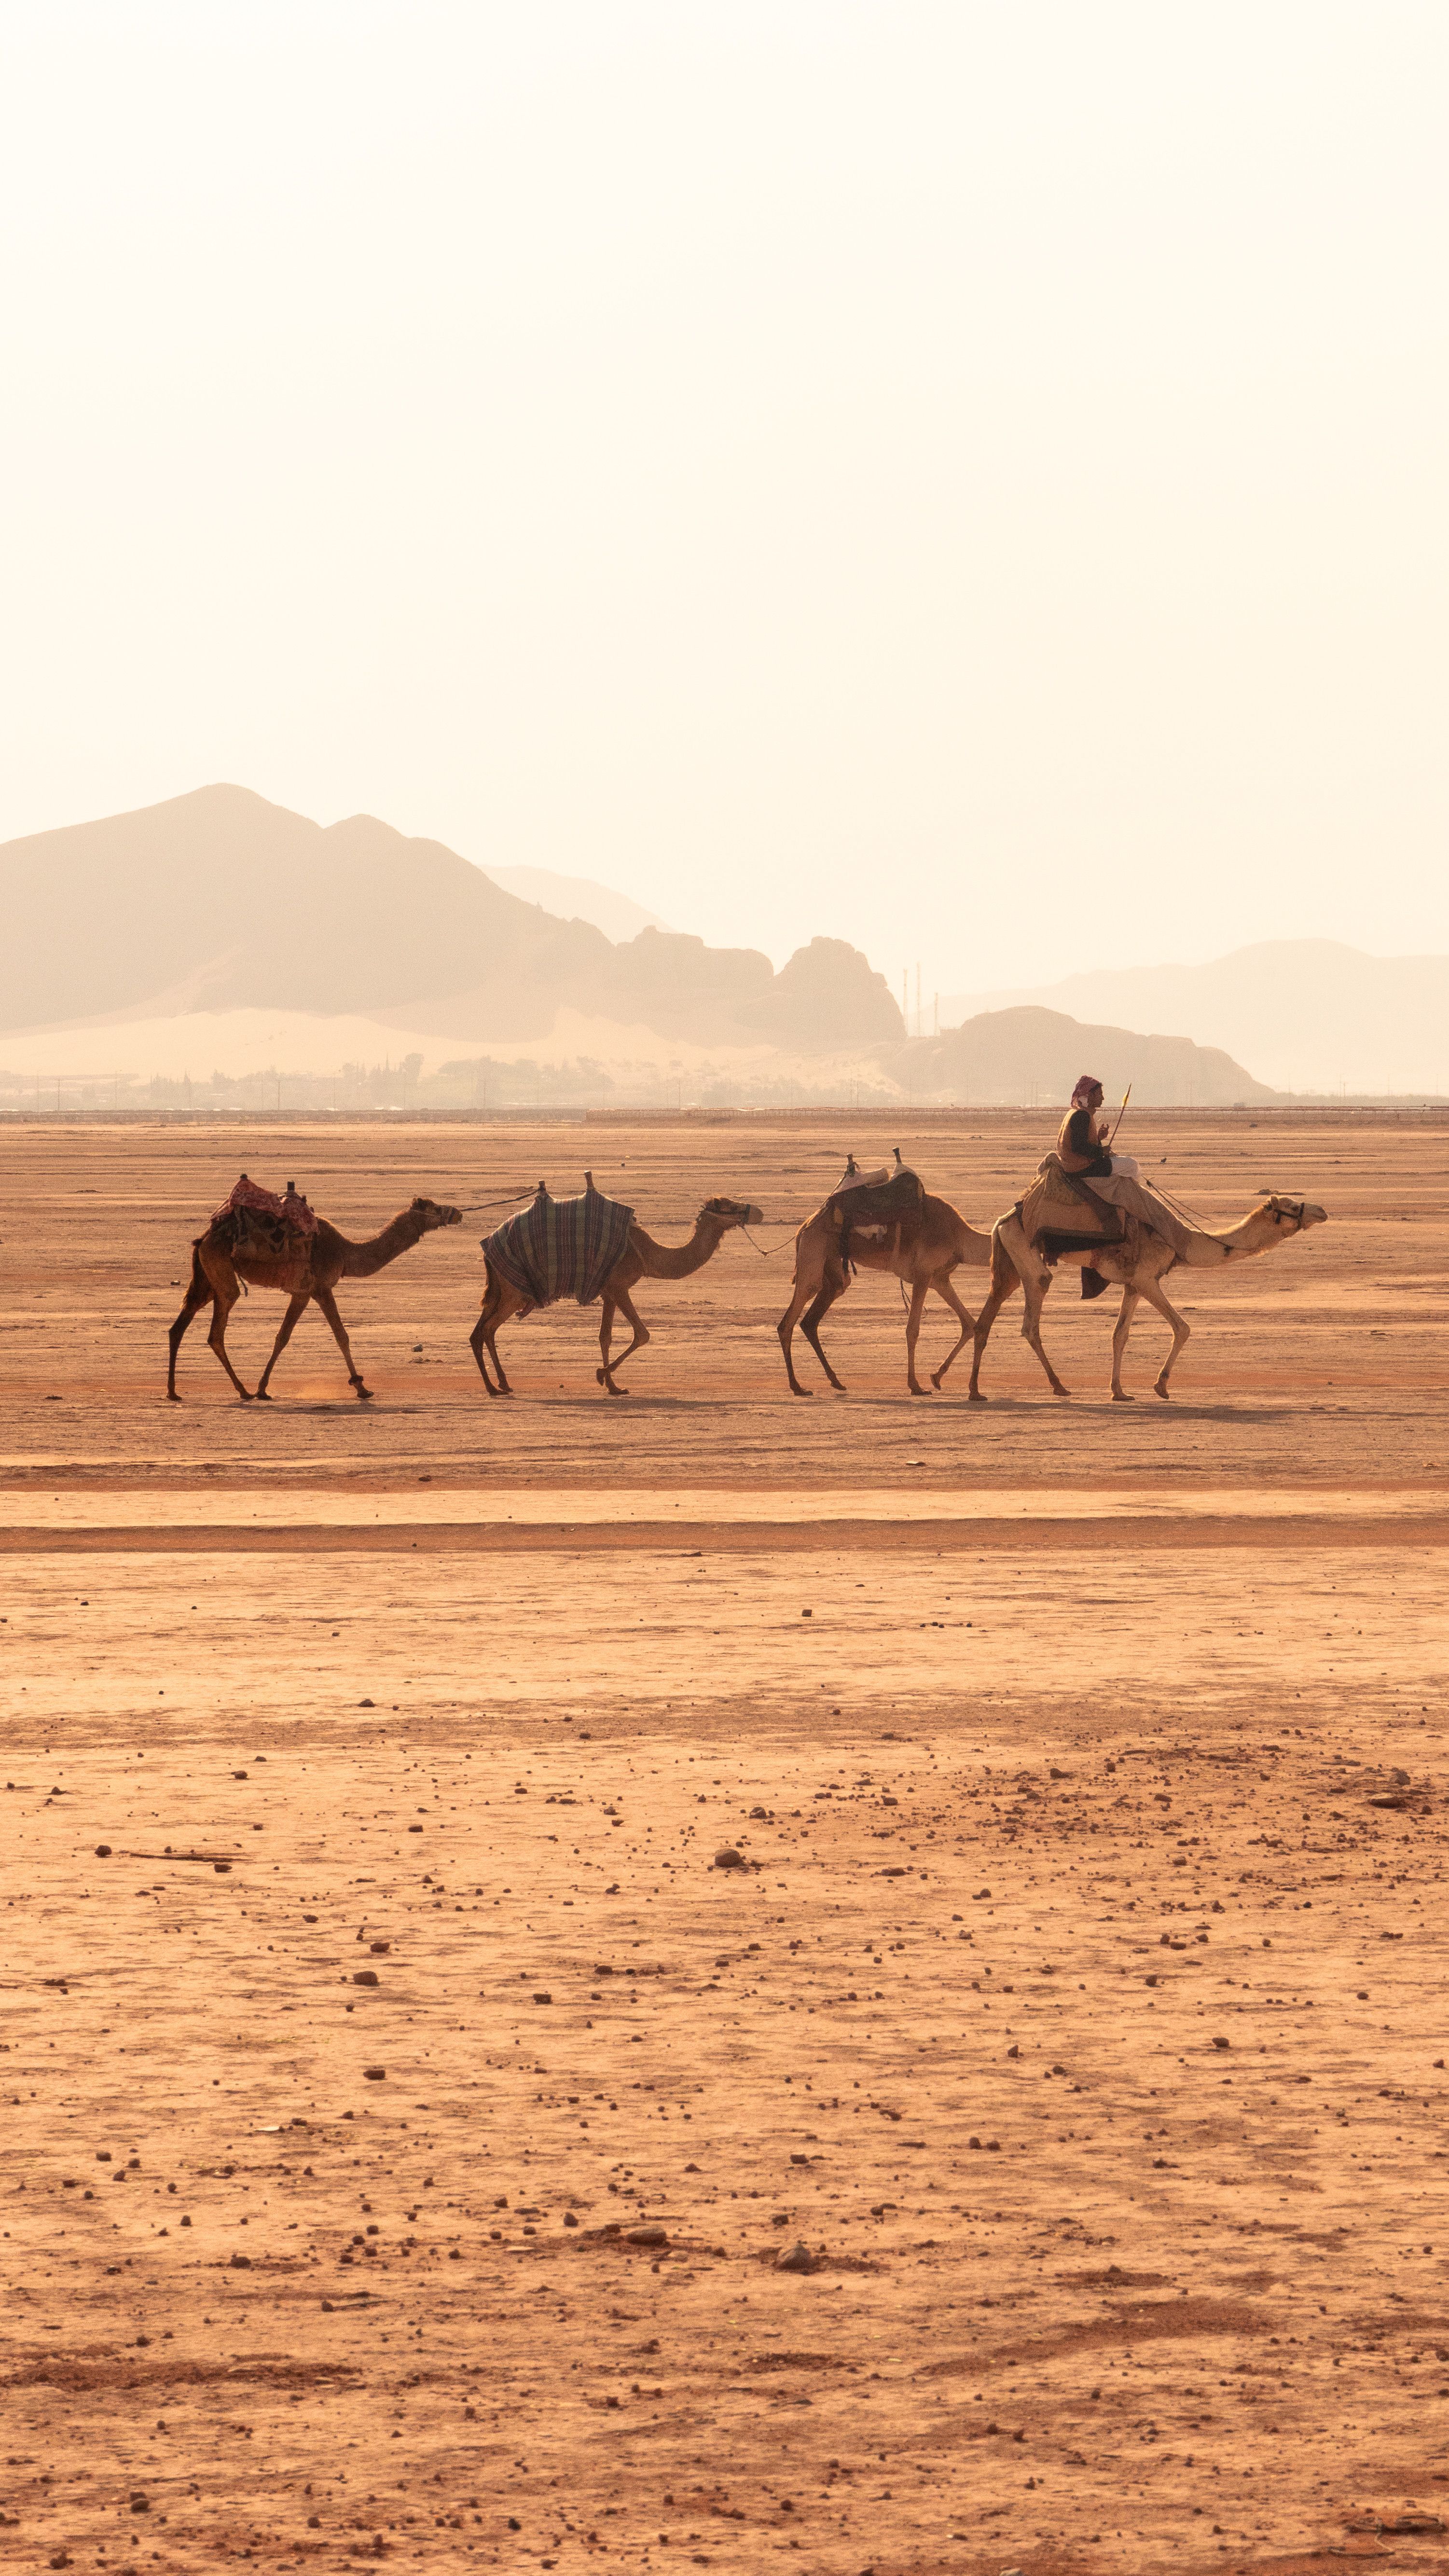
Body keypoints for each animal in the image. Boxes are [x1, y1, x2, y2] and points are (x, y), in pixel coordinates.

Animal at [167, 1191, 463, 1401]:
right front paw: (362, 1389)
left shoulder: (303, 1292)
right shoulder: (320, 1288)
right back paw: (242, 1391)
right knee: (217, 1329)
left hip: (206, 1277)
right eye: (435, 1207)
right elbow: (340, 1336)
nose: (458, 1213)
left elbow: (283, 1337)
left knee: (180, 1325)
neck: (346, 1252)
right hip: (221, 1272)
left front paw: (264, 1389)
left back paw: (174, 1392)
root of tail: (203, 1238)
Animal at [470, 1195, 763, 1396]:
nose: (758, 1212)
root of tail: (487, 1252)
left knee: (479, 1332)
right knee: (488, 1329)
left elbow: (605, 1337)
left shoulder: (608, 1293)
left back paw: (501, 1384)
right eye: (730, 1206)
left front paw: (613, 1386)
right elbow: (642, 1334)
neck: (648, 1255)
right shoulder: (620, 1287)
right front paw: (602, 1376)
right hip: (514, 1291)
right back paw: (494, 1388)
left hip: (500, 1290)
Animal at [777, 1192, 994, 1397]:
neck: (958, 1238)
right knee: (790, 1318)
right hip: (813, 1254)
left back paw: (835, 1381)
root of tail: (804, 1228)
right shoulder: (923, 1276)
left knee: (813, 1318)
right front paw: (915, 1386)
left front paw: (936, 1378)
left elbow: (969, 1324)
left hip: (832, 1264)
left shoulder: (940, 1280)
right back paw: (798, 1387)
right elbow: (912, 1330)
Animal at [957, 1192, 1327, 1403]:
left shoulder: (1132, 1285)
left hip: (1008, 1264)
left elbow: (1119, 1334)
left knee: (986, 1318)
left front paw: (1119, 1391)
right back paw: (1058, 1386)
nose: (1322, 1211)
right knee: (1031, 1321)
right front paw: (1161, 1386)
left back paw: (974, 1390)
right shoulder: (1147, 1279)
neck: (1182, 1243)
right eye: (1293, 1206)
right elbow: (1182, 1328)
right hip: (1029, 1260)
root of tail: (1002, 1221)